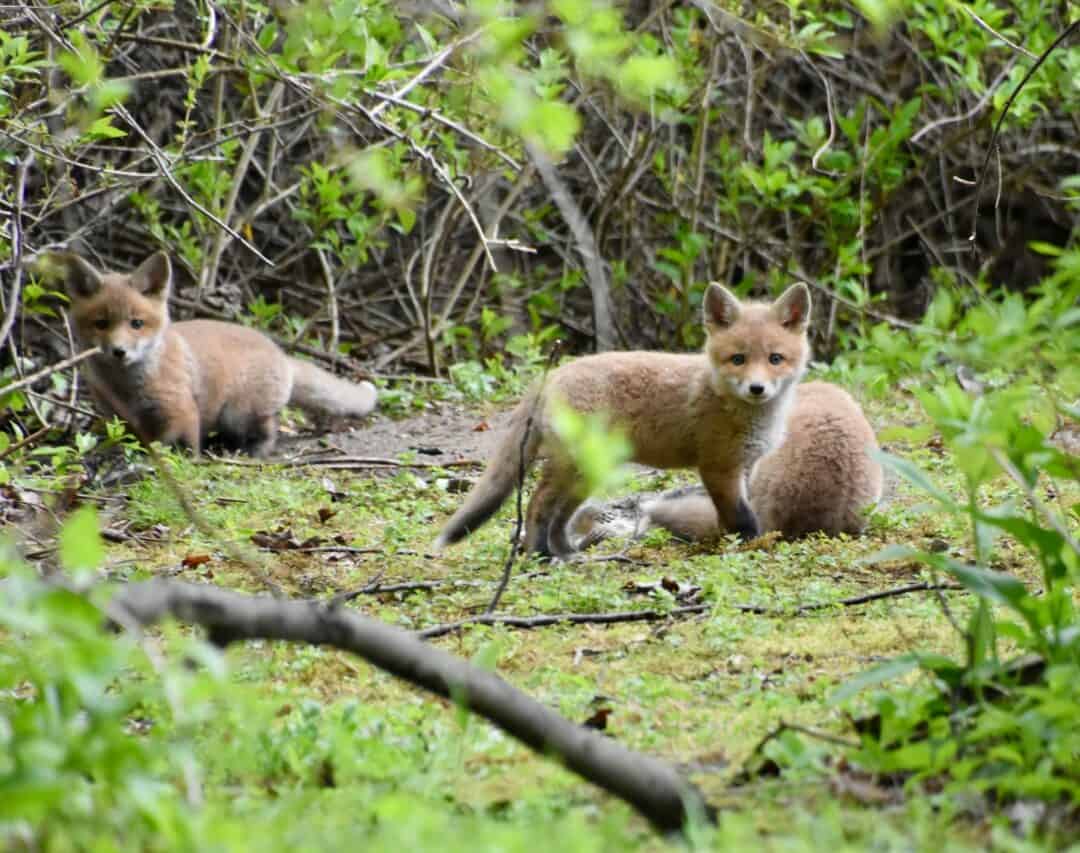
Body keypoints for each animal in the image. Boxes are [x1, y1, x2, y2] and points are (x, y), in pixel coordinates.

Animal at [51, 251, 377, 456]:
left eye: (136, 324)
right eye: (101, 324)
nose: (119, 351)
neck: (126, 386)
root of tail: (282, 355)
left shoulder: (180, 410)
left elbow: (176, 445)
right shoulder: (118, 417)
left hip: (239, 413)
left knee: (269, 430)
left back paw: (252, 451)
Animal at [434, 282, 812, 558]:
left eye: (775, 359)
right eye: (738, 359)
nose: (757, 388)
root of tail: (555, 374)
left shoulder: (746, 466)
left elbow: (741, 511)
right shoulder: (718, 467)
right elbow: (740, 515)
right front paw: (749, 543)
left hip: (586, 474)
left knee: (560, 516)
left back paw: (567, 552)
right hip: (571, 468)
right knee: (537, 505)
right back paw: (540, 554)